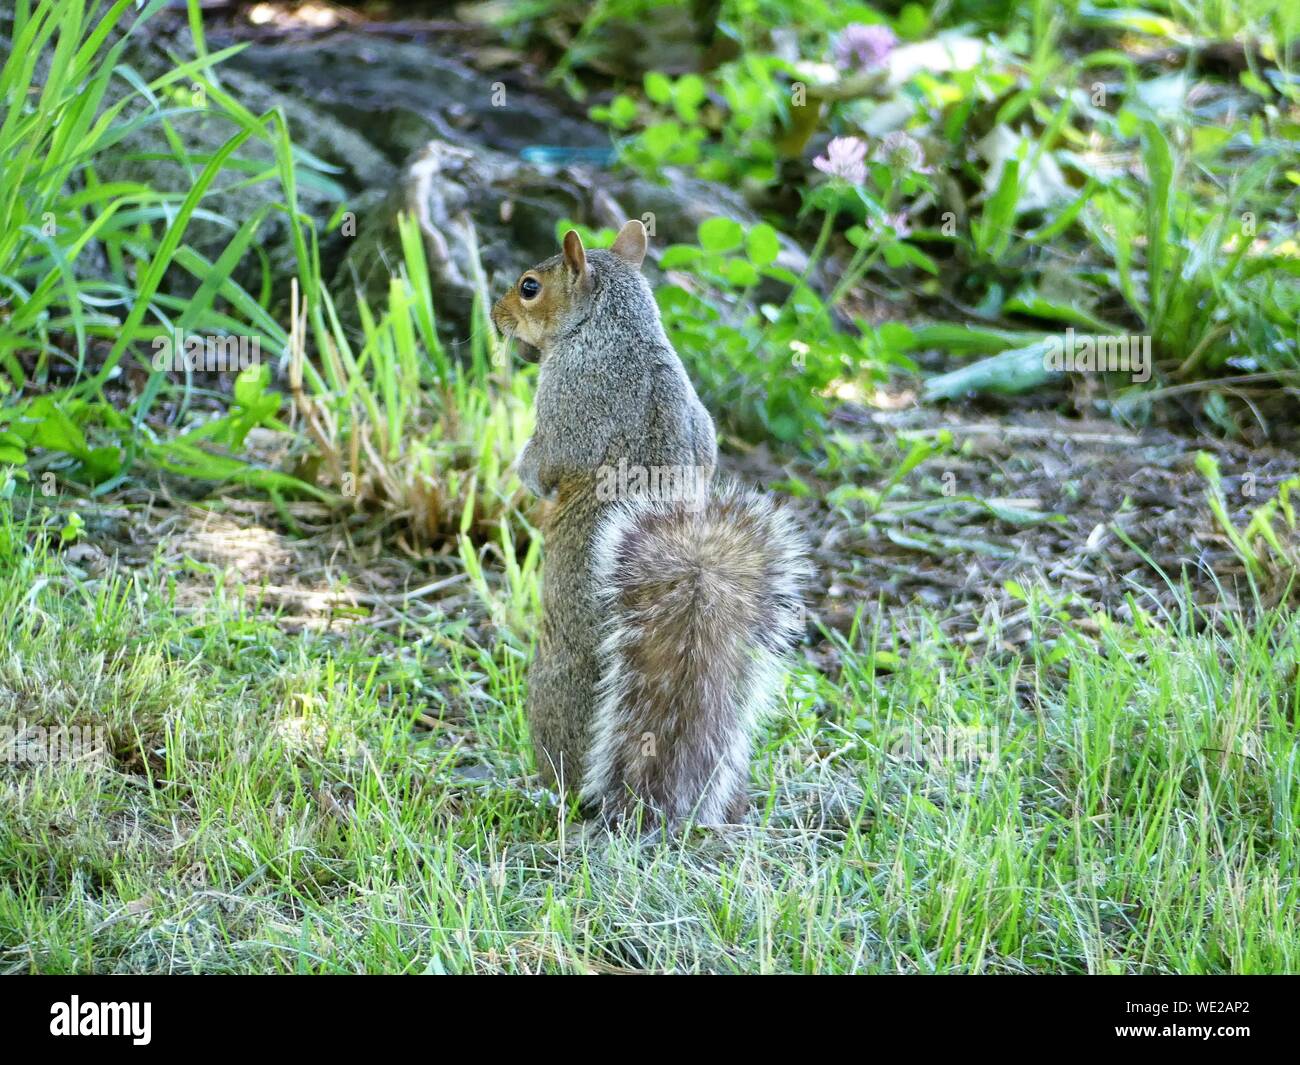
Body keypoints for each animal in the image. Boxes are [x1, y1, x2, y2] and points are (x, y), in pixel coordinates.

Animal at [490, 219, 810, 827]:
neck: (617, 330)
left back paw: (540, 791)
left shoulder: (568, 398)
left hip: (549, 692)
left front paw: (524, 471)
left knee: (566, 777)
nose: (495, 316)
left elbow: (546, 462)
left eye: (529, 287)